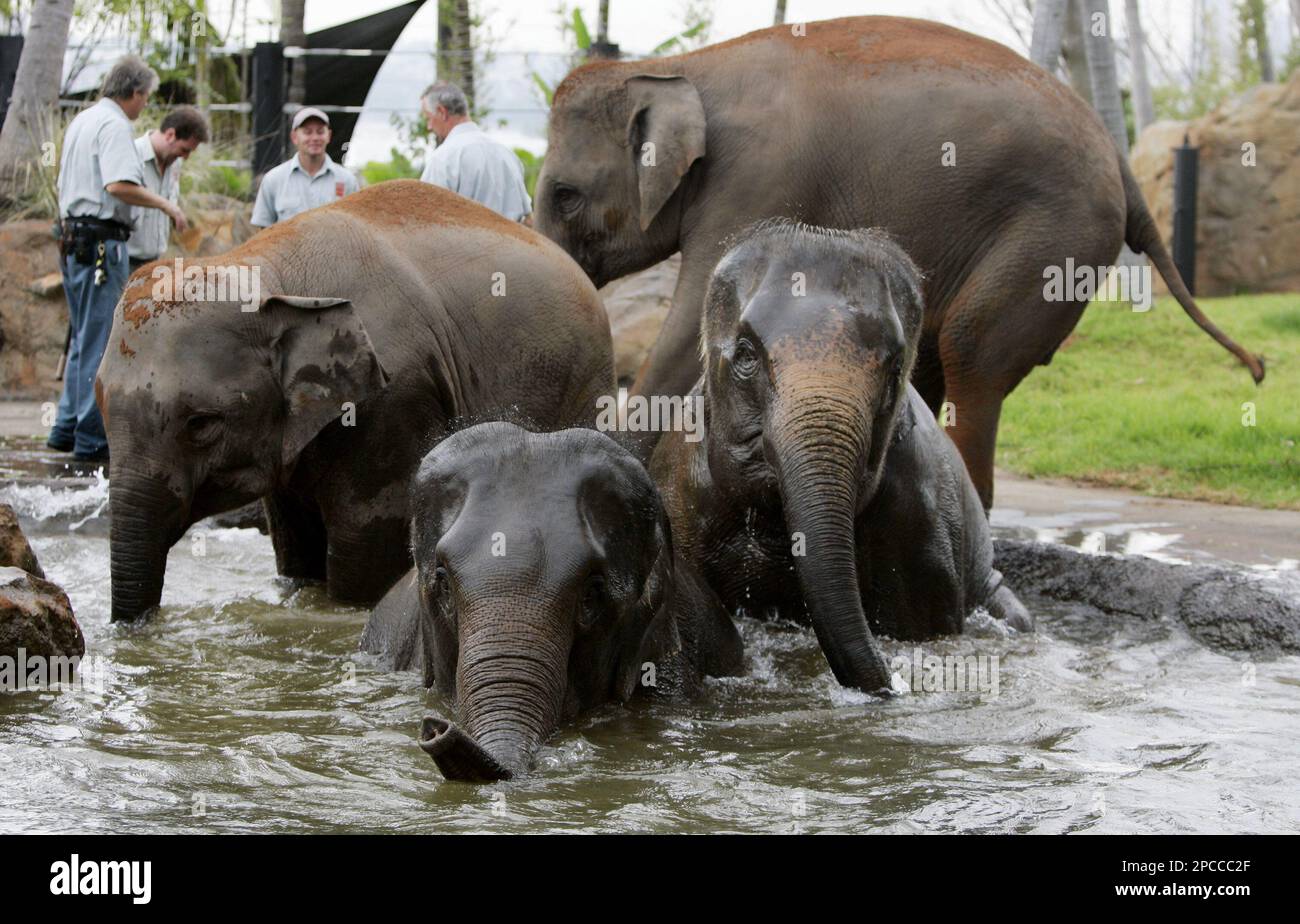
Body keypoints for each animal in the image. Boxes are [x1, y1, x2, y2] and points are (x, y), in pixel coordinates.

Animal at [97, 180, 615, 621]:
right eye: (102, 412)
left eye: (202, 424)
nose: (137, 627)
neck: (263, 271)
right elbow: (295, 544)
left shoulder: (392, 400)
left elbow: (364, 550)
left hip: (585, 382)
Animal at [534, 15, 1264, 508]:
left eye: (565, 195)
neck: (682, 65)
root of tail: (1119, 156)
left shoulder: (758, 180)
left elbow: (695, 325)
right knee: (934, 357)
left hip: (1059, 233)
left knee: (971, 350)